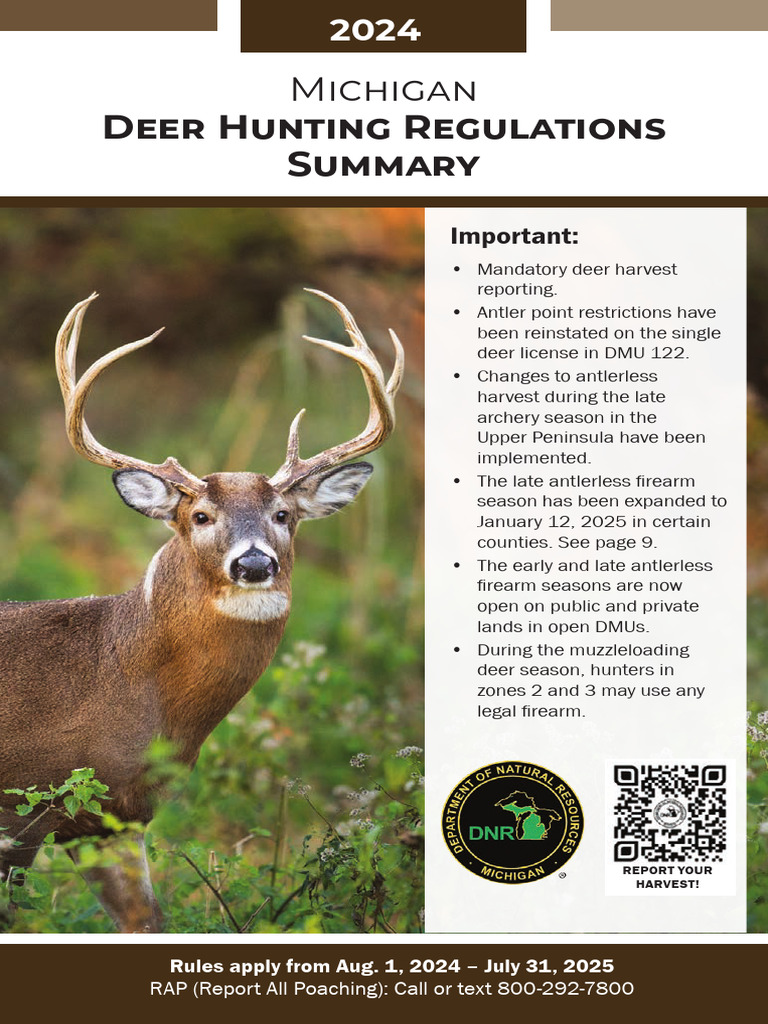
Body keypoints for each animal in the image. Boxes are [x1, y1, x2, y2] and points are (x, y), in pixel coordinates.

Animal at [0, 289, 403, 933]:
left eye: (283, 514)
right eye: (200, 515)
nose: (255, 562)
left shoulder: (114, 818)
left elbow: (148, 919)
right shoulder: (20, 807)